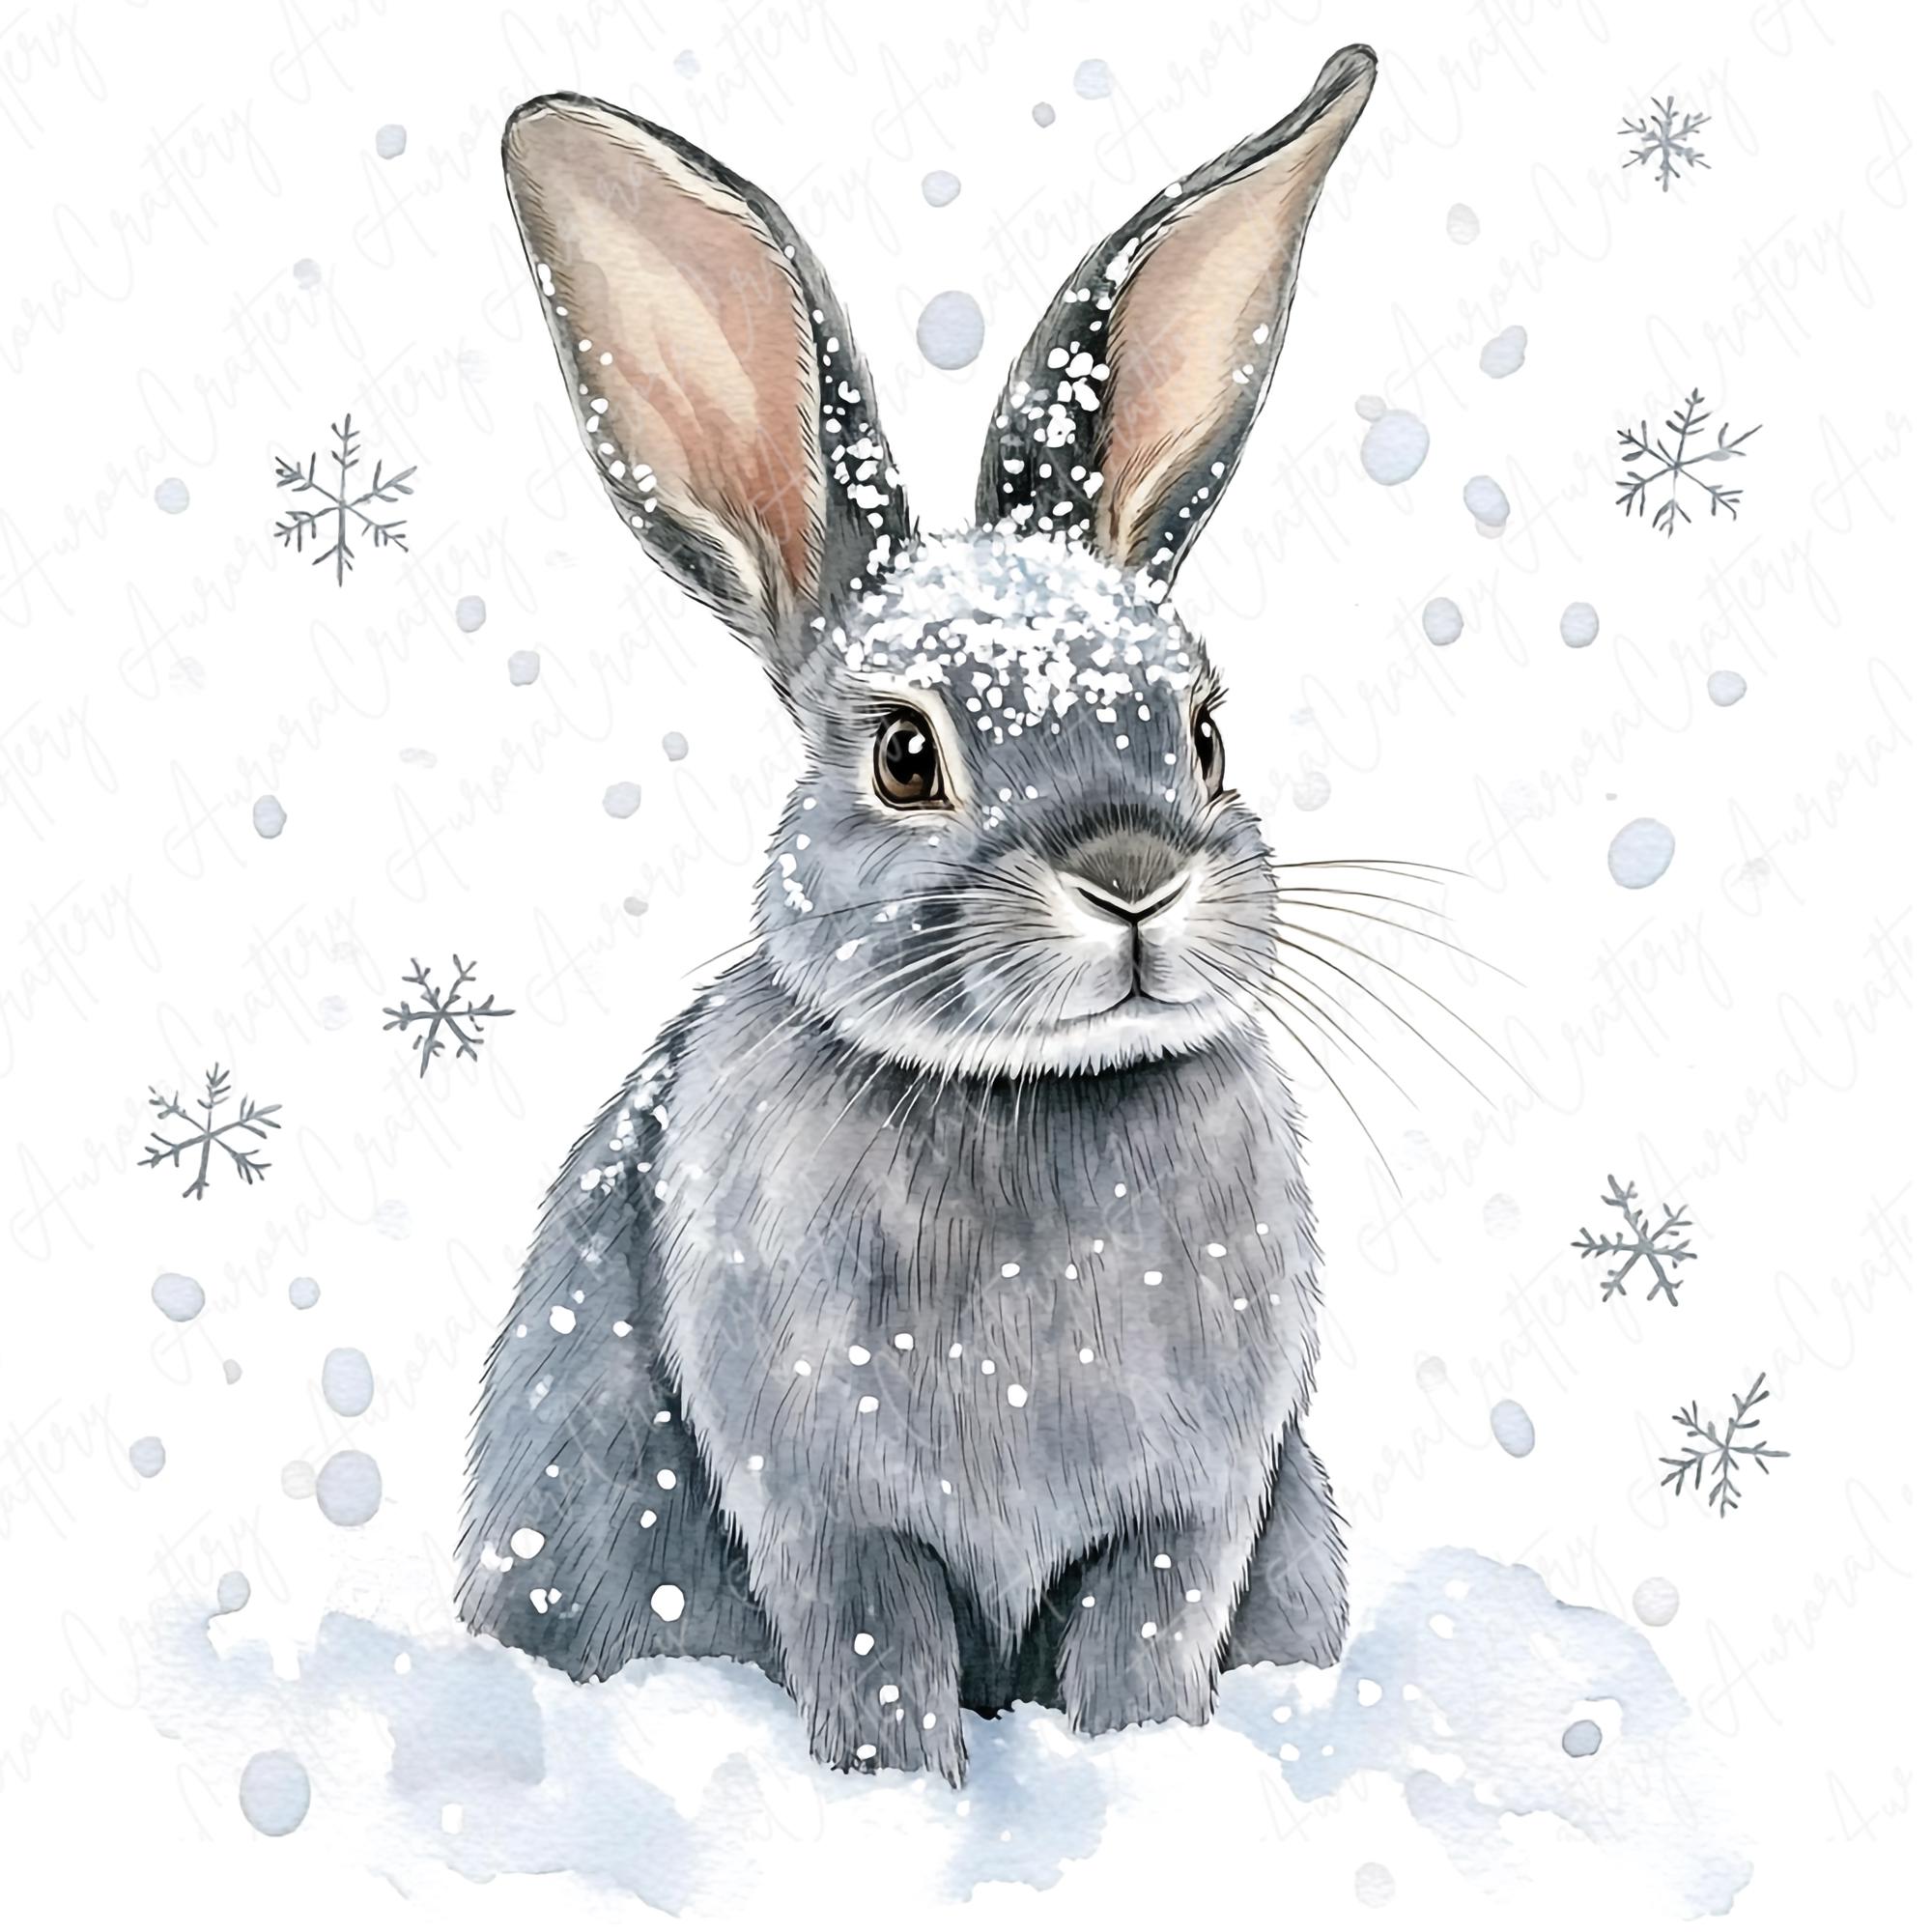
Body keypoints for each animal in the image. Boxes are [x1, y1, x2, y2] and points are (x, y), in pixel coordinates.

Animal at [458, 43, 1376, 1785]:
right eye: (904, 755)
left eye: (1204, 733)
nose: (1133, 875)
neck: (1034, 1099)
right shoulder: (831, 1524)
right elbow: (879, 1664)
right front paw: (904, 1806)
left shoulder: (1188, 1520)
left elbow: (1141, 1659)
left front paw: (1139, 1790)